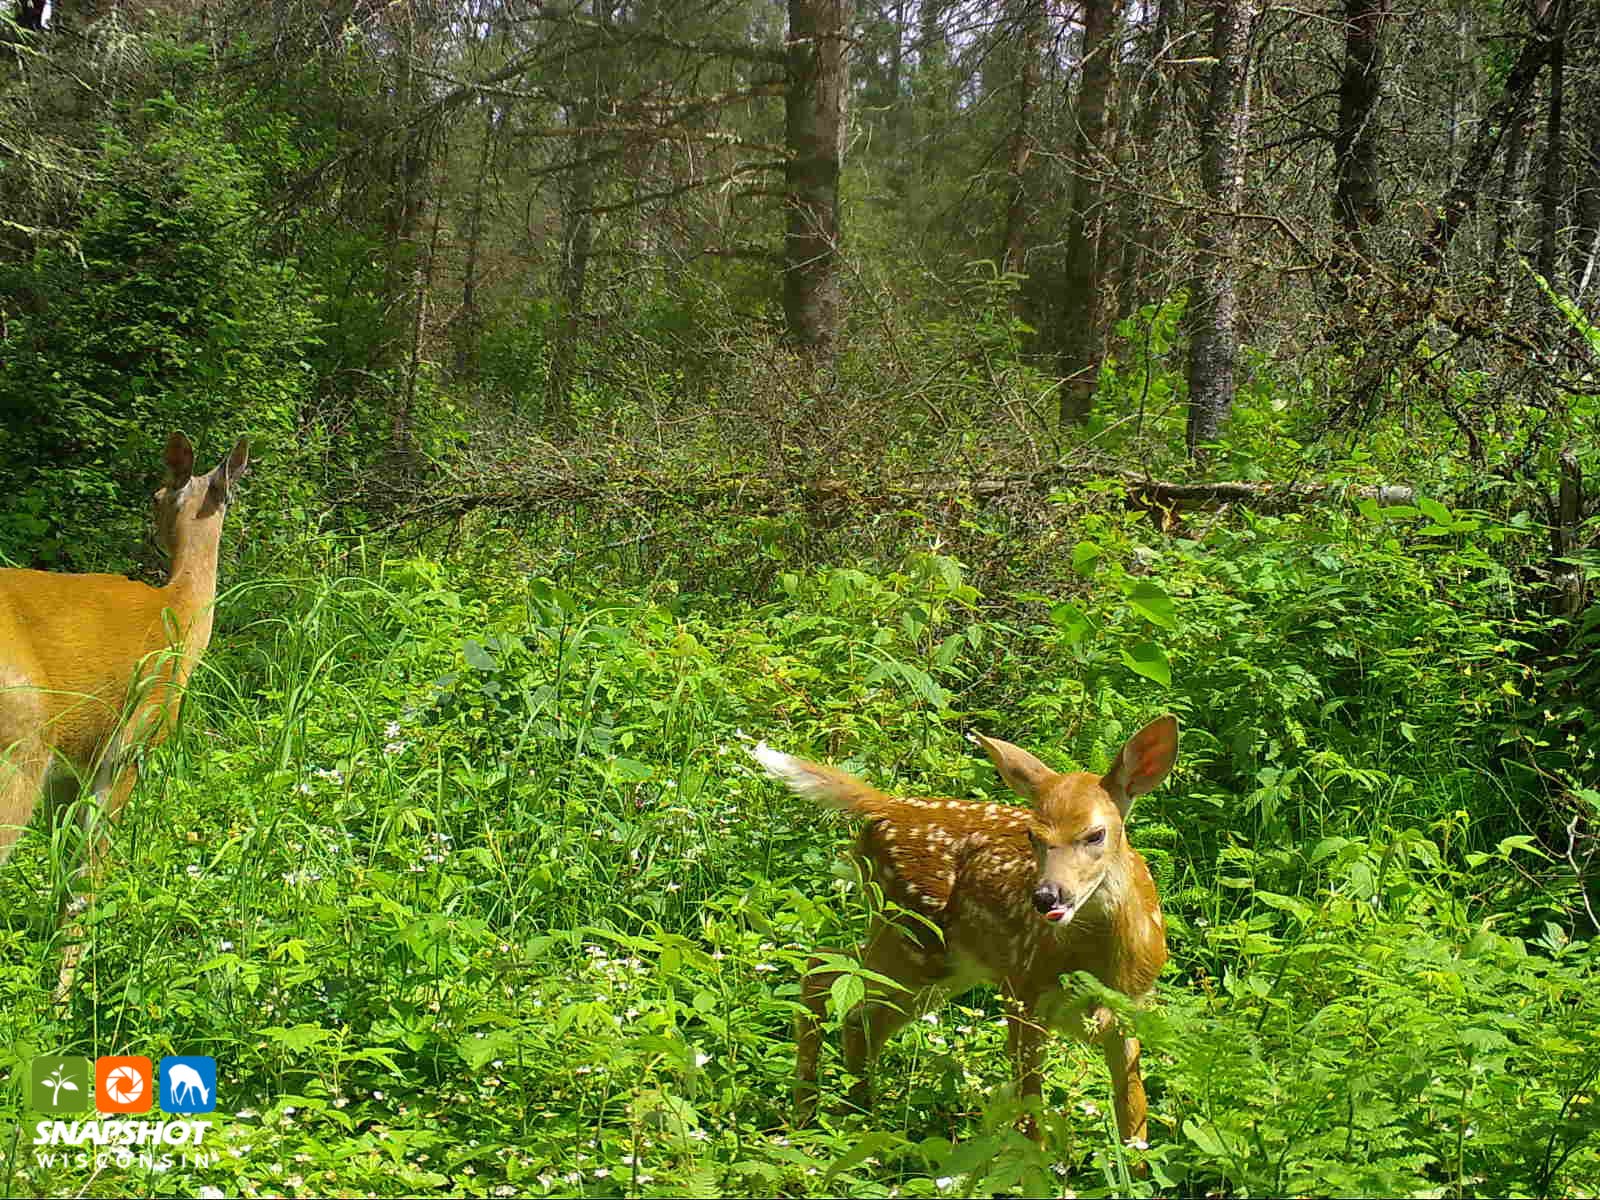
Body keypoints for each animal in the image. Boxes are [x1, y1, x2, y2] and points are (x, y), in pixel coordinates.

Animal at [0, 432, 249, 996]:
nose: (149, 518)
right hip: (19, 746)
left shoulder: (70, 769)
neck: (180, 615)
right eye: (157, 495)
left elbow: (64, 871)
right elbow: (88, 879)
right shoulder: (129, 748)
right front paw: (64, 998)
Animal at [751, 715, 1178, 1150]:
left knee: (858, 1014)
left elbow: (1134, 1114)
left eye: (1095, 834)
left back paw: (858, 1117)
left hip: (945, 965)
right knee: (821, 972)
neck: (1100, 964)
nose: (1046, 897)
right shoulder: (1022, 991)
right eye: (1032, 835)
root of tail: (885, 804)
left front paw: (1137, 1163)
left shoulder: (1131, 1011)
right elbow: (1030, 1112)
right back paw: (807, 1115)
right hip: (911, 938)